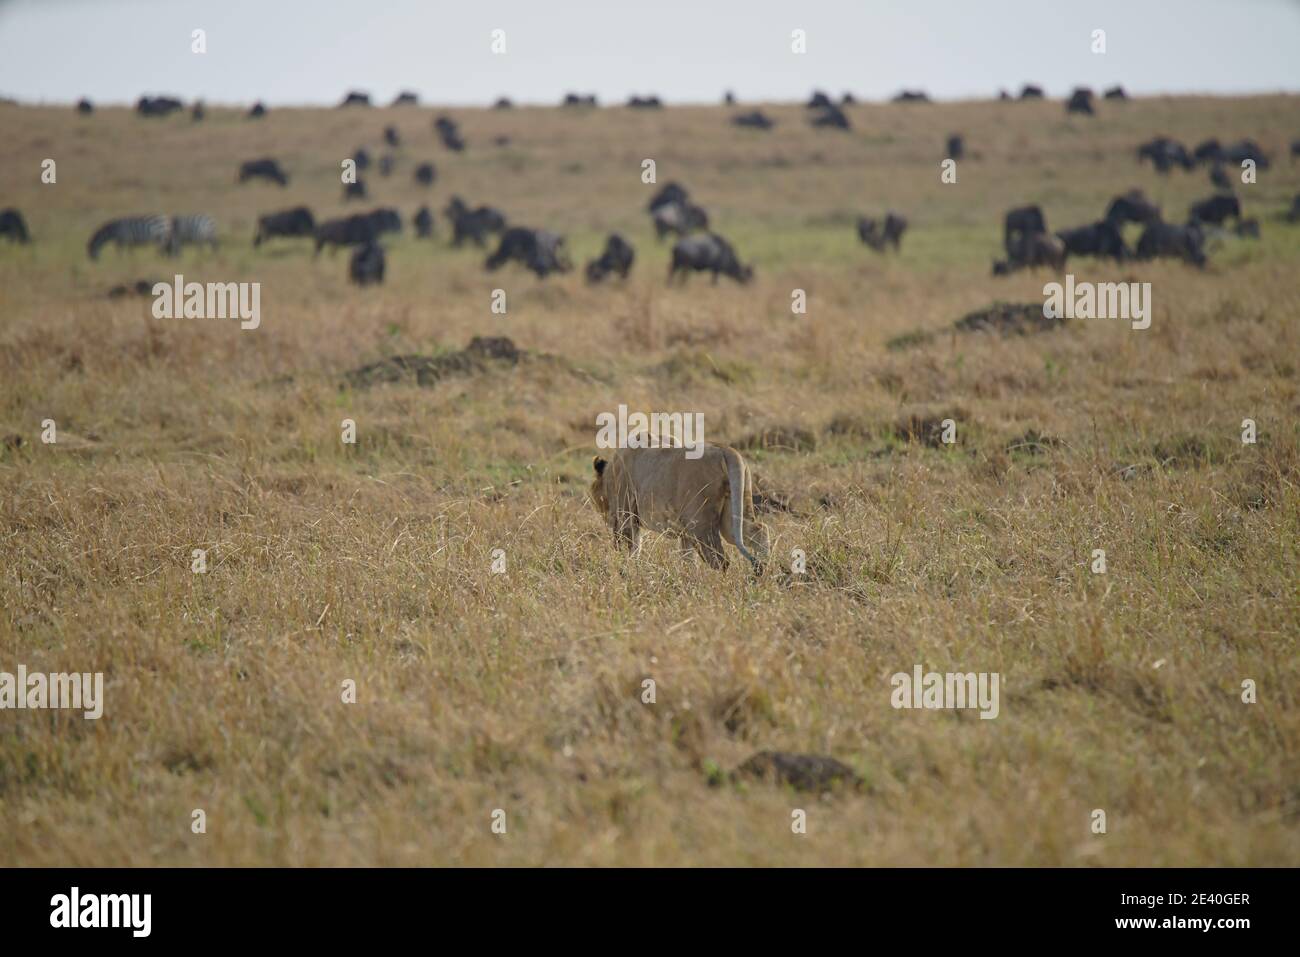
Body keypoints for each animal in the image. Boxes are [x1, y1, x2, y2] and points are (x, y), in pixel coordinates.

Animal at [589, 445, 768, 571]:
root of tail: (725, 450)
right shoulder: (684, 532)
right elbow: (687, 559)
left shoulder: (625, 515)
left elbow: (631, 547)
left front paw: (628, 570)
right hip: (731, 516)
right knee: (759, 530)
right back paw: (763, 573)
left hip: (700, 523)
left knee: (720, 561)